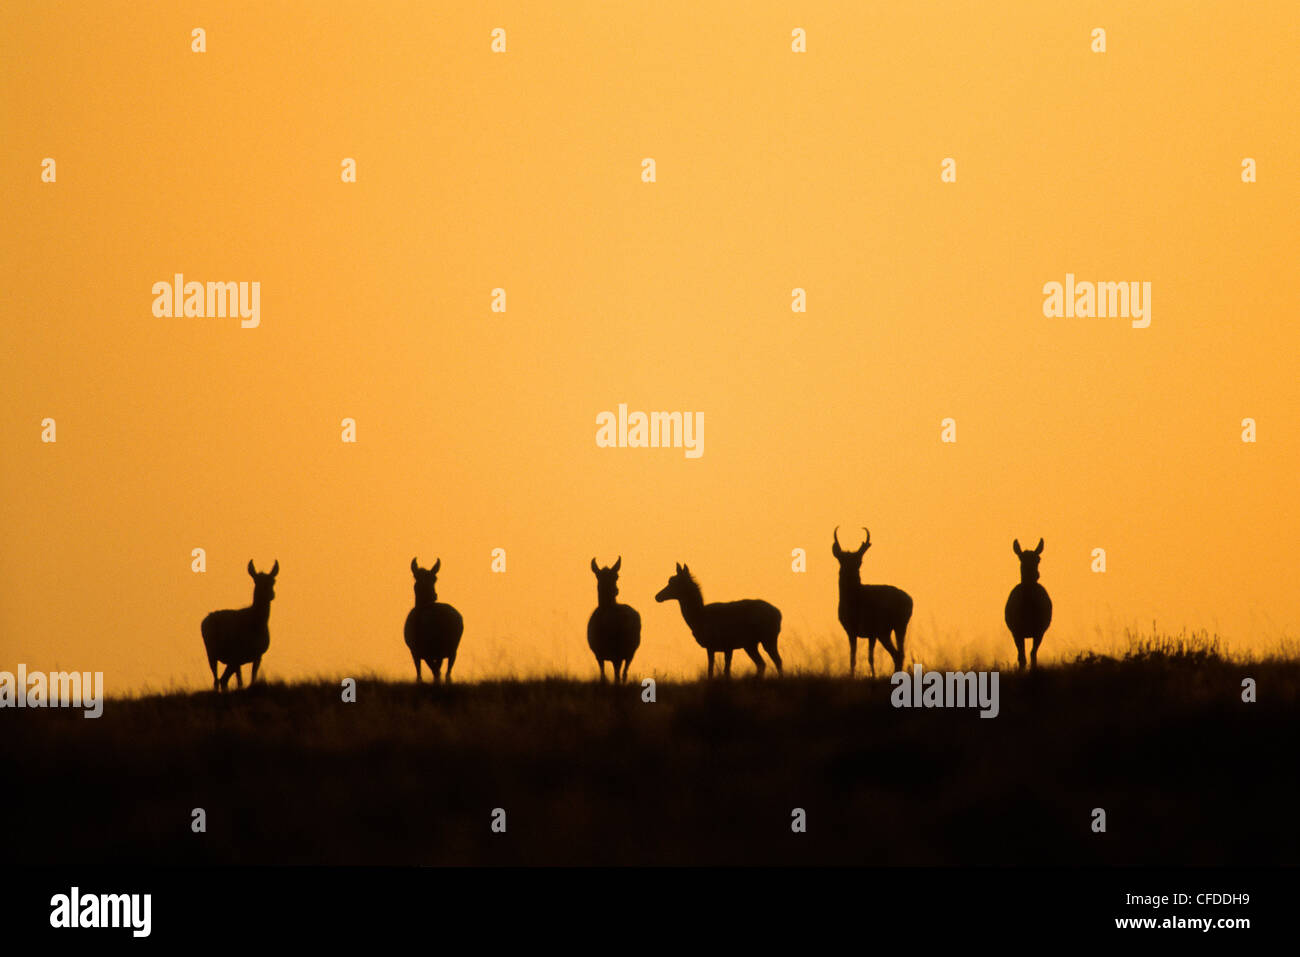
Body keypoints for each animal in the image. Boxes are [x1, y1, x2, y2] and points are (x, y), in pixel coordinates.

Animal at [201, 560, 278, 692]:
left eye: (273, 581)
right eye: (256, 581)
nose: (271, 594)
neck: (256, 624)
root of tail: (205, 622)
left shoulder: (257, 655)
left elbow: (250, 679)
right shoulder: (240, 655)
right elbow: (242, 682)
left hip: (224, 657)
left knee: (221, 680)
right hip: (213, 653)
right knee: (219, 680)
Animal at [832, 527, 913, 677]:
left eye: (860, 562)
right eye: (841, 560)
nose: (849, 573)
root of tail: (910, 600)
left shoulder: (864, 630)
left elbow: (864, 658)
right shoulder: (858, 631)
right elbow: (861, 658)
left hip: (885, 629)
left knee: (897, 654)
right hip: (899, 627)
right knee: (900, 653)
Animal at [1005, 538, 1051, 670]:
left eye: (1038, 559)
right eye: (1021, 558)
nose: (1035, 575)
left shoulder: (1039, 631)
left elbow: (1032, 654)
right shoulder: (1016, 631)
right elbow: (1022, 658)